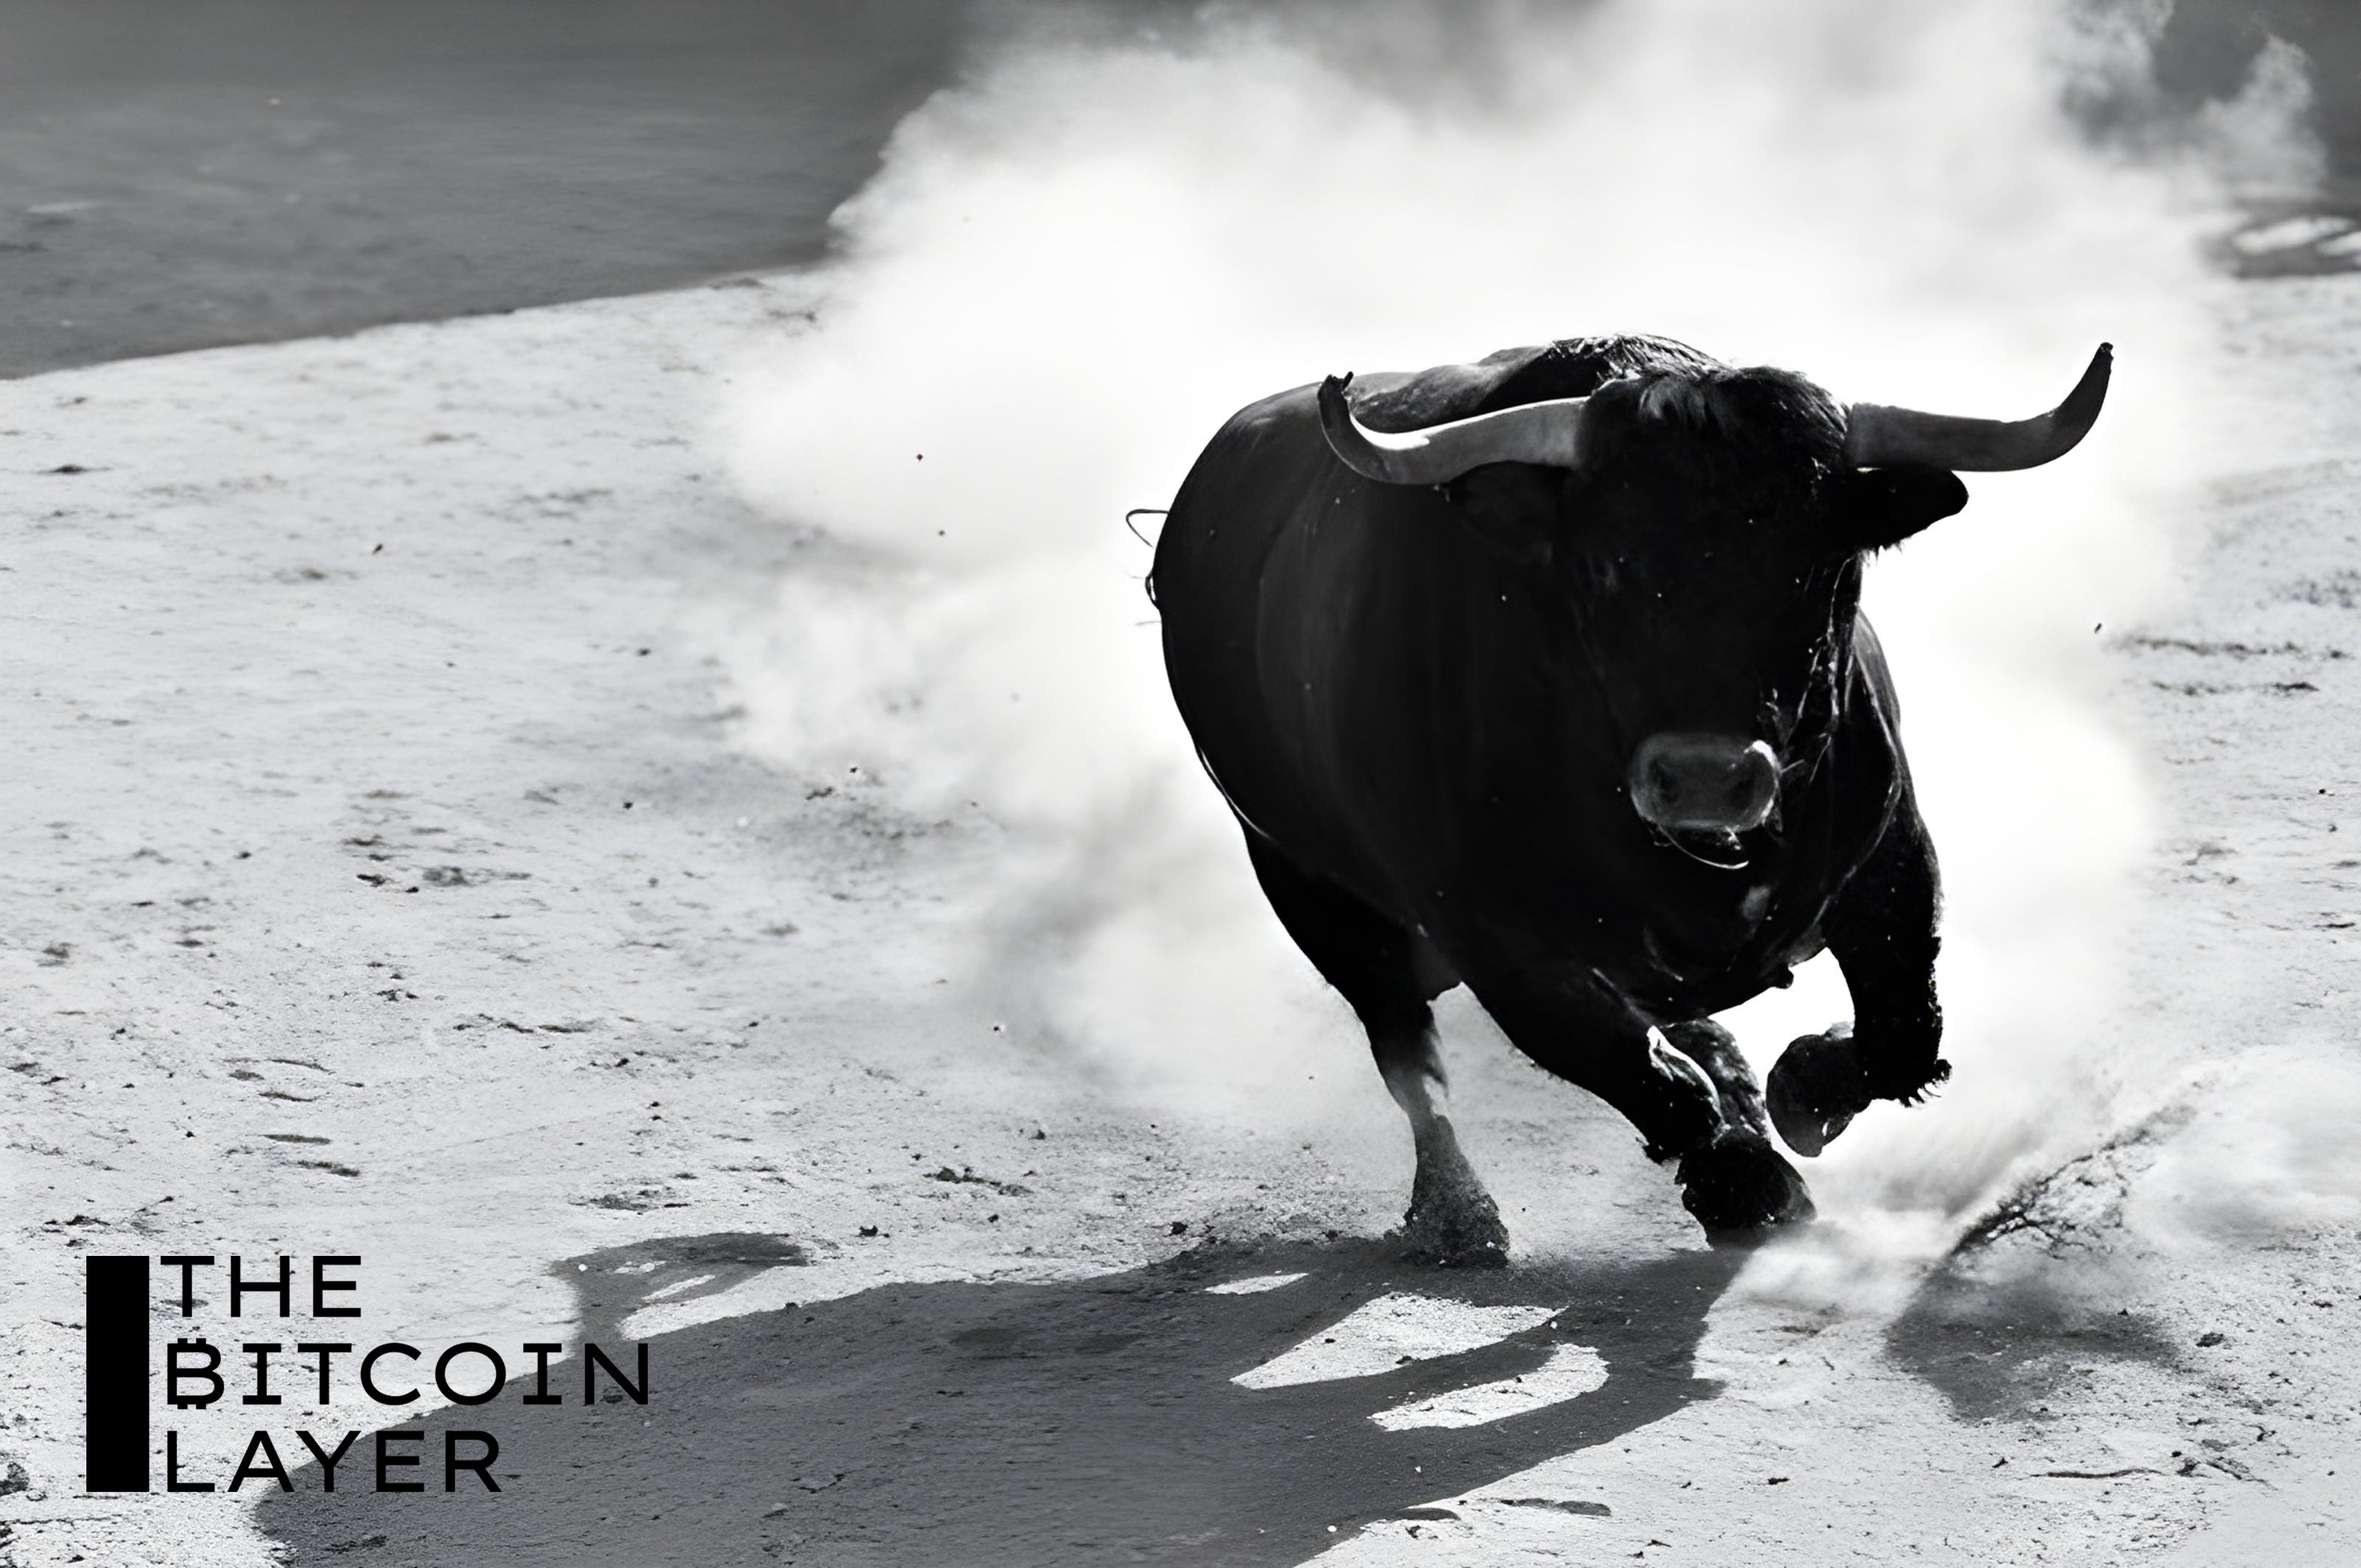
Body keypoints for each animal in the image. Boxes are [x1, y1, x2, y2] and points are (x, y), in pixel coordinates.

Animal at [1150, 333, 2109, 1263]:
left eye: (1815, 564)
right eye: (1607, 561)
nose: (1706, 778)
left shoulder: (1891, 859)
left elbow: (1903, 1030)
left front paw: (1800, 1092)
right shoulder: (1497, 941)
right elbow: (1639, 1076)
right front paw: (1739, 1178)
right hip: (1305, 884)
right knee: (1408, 1054)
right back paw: (1456, 1215)